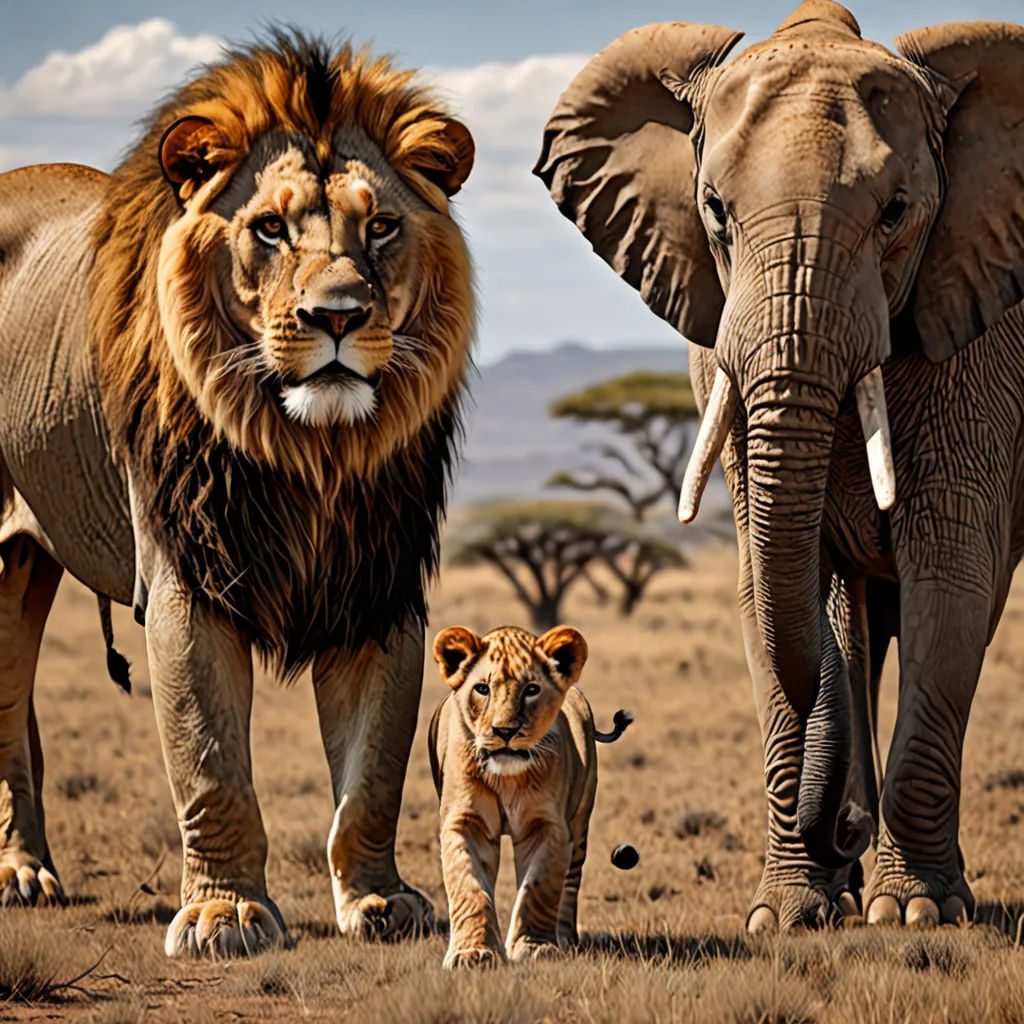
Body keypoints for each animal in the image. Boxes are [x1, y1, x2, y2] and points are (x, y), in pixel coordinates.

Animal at [0, 31, 474, 957]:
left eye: (382, 226)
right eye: (269, 228)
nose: (338, 314)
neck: (312, 454)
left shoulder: (381, 584)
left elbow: (374, 773)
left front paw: (379, 902)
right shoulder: (186, 581)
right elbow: (211, 764)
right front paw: (225, 914)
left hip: (30, 557)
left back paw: (28, 867)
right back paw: (17, 877)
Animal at [428, 625, 632, 968]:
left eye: (532, 689)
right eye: (482, 688)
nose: (505, 731)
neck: (508, 778)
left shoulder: (548, 826)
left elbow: (538, 887)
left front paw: (535, 947)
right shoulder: (465, 821)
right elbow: (469, 886)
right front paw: (472, 953)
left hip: (579, 824)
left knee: (570, 883)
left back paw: (565, 939)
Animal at [536, 0, 1024, 930]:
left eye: (896, 212)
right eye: (715, 211)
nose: (844, 827)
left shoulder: (980, 340)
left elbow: (951, 574)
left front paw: (914, 914)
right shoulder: (713, 345)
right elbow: (766, 595)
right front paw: (792, 916)